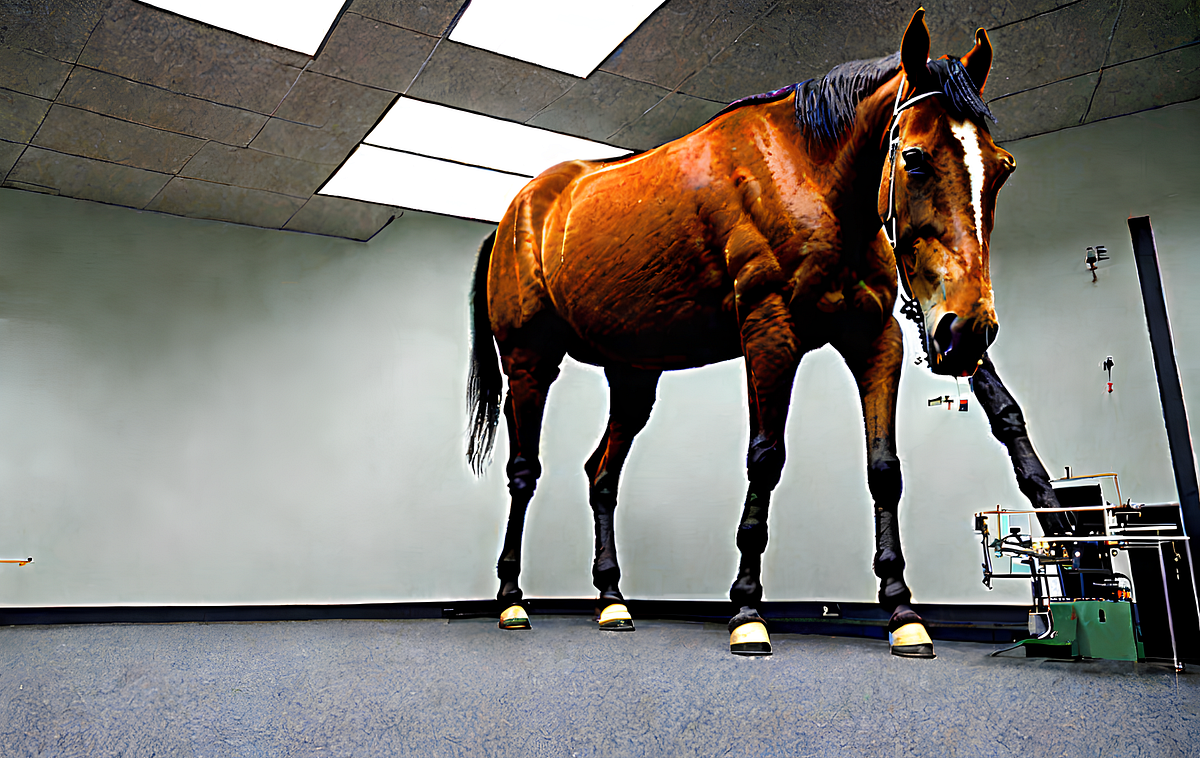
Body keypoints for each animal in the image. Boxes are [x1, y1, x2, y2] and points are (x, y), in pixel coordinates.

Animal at [466, 9, 1025, 658]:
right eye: (913, 158)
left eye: (1002, 169)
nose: (967, 331)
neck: (807, 173)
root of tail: (515, 213)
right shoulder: (769, 332)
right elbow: (765, 457)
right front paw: (747, 609)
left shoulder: (876, 338)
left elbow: (884, 468)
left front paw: (902, 609)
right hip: (530, 361)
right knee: (523, 473)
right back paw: (511, 600)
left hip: (632, 375)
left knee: (600, 476)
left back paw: (611, 600)